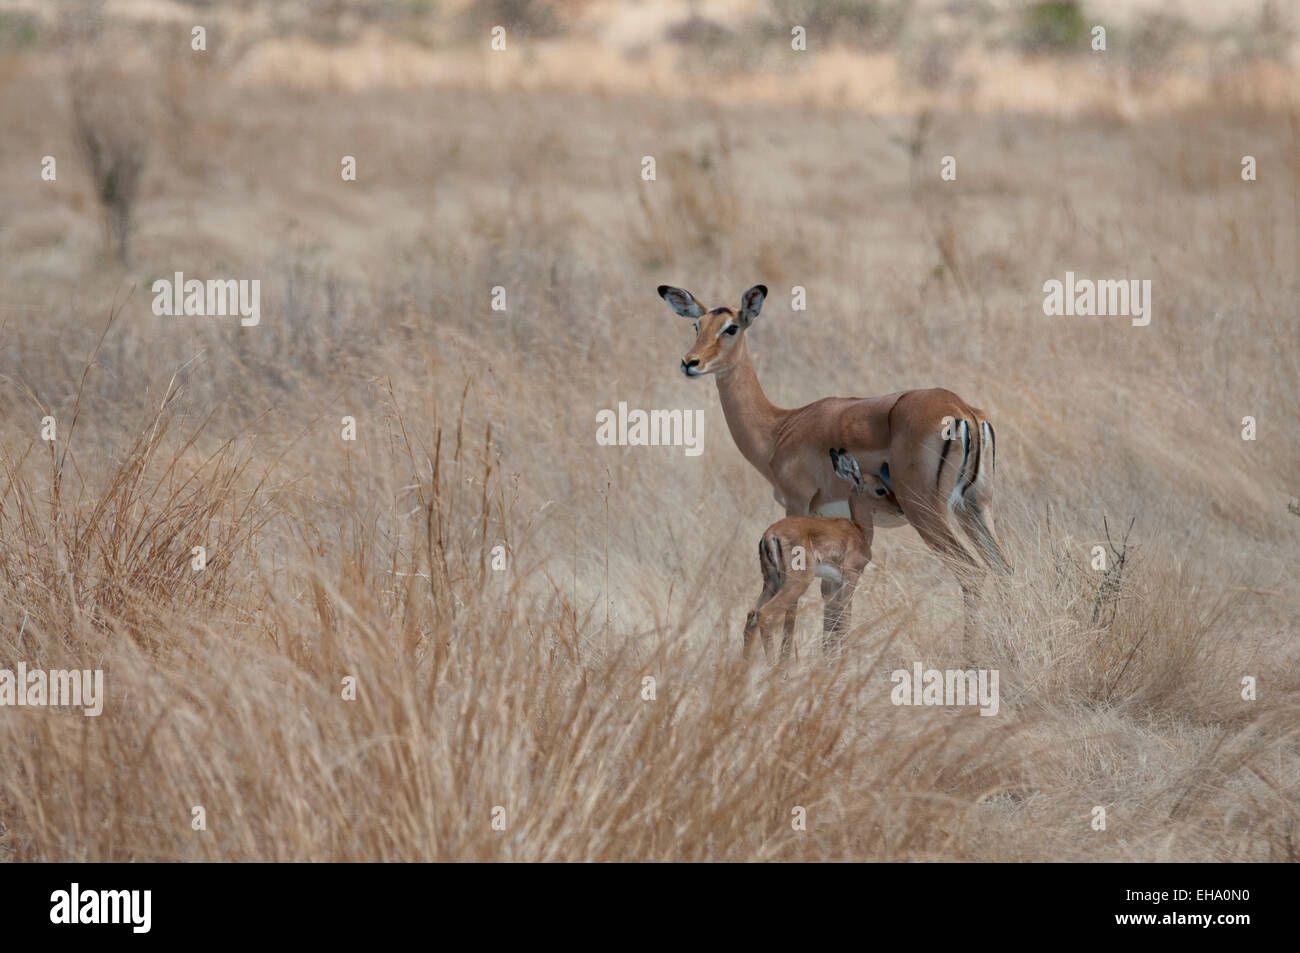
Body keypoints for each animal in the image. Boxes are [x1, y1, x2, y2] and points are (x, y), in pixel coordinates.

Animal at [744, 449, 891, 662]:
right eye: (881, 490)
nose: (899, 507)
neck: (859, 530)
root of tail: (770, 534)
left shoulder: (832, 583)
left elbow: (833, 621)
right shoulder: (850, 577)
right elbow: (844, 620)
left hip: (772, 582)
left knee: (752, 614)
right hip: (795, 583)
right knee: (766, 614)